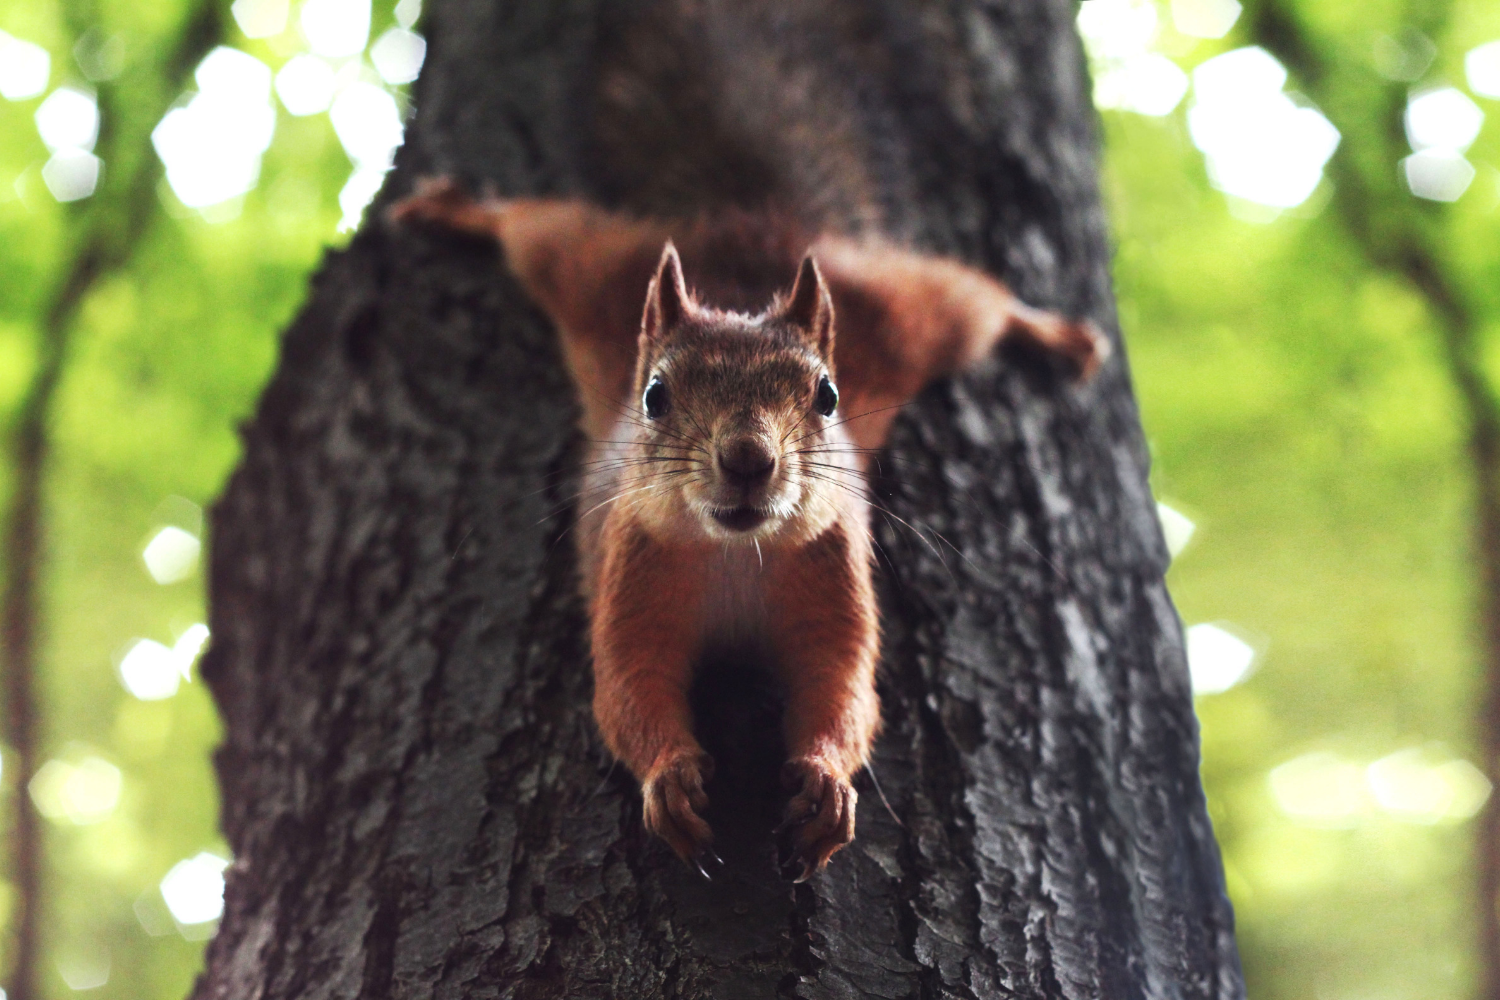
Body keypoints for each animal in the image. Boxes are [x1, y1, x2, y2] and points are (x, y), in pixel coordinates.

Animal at [390, 178, 1106, 879]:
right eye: (654, 396)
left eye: (827, 396)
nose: (747, 460)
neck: (736, 553)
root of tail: (744, 256)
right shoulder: (631, 571)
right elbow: (627, 686)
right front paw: (669, 777)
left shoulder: (834, 571)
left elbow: (842, 684)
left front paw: (826, 780)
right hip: (593, 276)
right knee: (542, 227)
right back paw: (459, 209)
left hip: (905, 320)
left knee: (970, 299)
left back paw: (1052, 331)